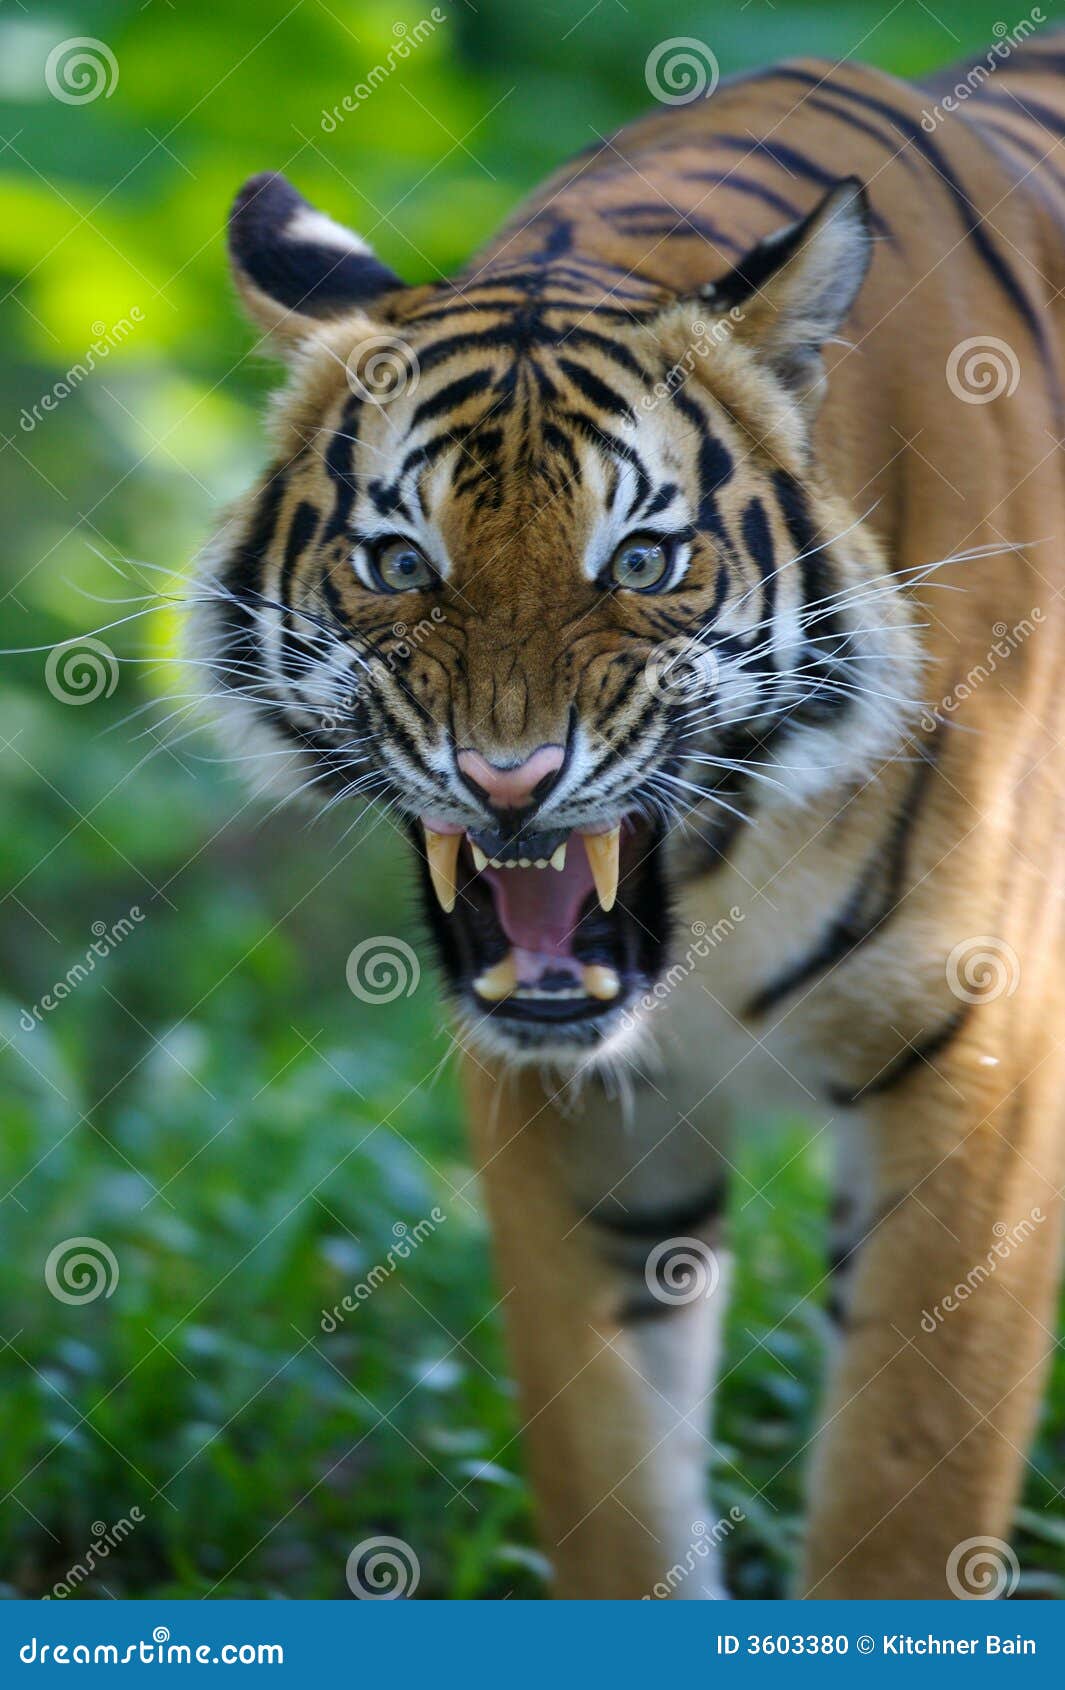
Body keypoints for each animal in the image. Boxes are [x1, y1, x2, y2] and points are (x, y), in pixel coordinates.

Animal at [194, 28, 1065, 1599]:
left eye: (643, 557)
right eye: (401, 560)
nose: (508, 778)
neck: (726, 867)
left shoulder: (980, 1055)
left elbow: (904, 1488)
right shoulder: (565, 1111)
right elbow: (609, 1477)